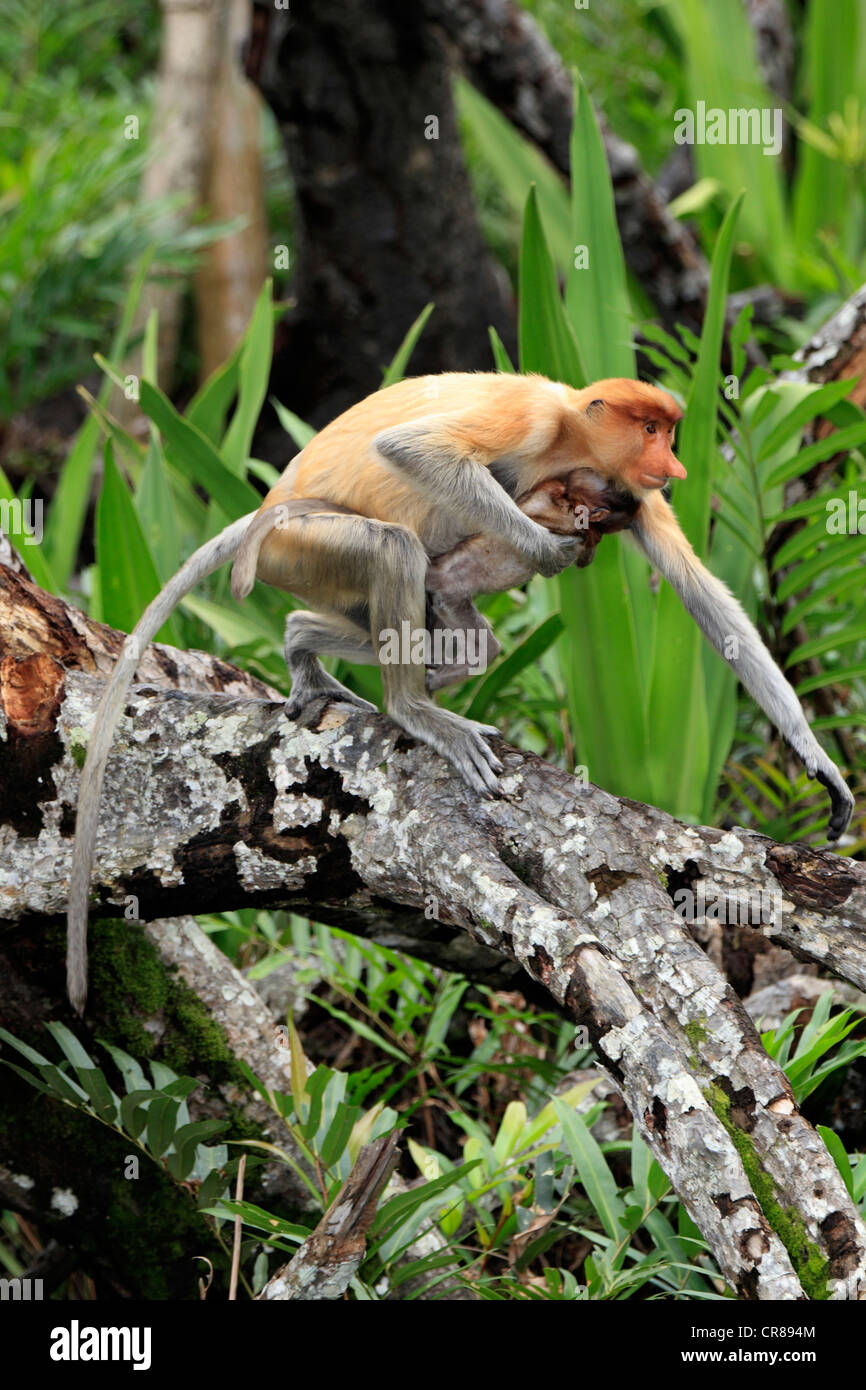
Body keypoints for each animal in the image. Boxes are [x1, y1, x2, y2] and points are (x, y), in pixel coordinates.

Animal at [67, 372, 854, 1014]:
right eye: (651, 428)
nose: (676, 466)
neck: (570, 437)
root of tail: (268, 511)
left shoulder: (631, 491)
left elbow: (702, 594)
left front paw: (820, 762)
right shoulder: (533, 419)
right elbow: (413, 449)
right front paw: (547, 545)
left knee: (453, 630)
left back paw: (316, 648)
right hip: (304, 548)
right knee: (394, 548)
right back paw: (411, 705)